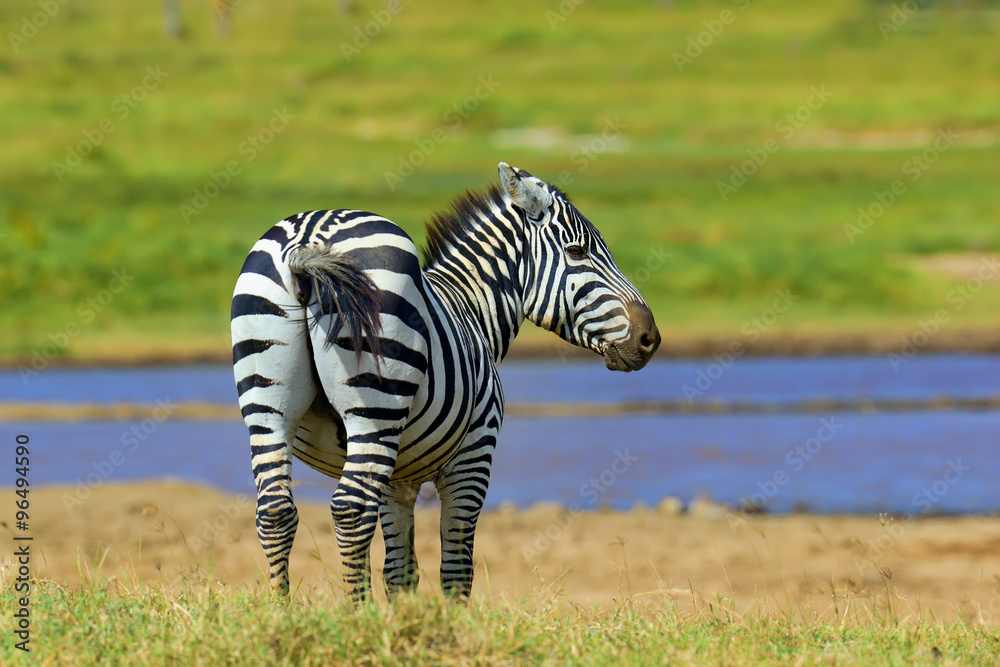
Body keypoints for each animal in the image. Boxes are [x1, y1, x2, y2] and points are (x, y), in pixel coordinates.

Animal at [231, 162, 660, 602]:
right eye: (577, 252)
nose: (650, 339)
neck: (471, 309)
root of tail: (311, 237)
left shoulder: (398, 478)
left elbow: (400, 571)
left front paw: (404, 620)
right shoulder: (473, 453)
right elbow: (456, 570)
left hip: (268, 409)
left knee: (276, 512)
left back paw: (283, 612)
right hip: (375, 410)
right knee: (350, 509)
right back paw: (356, 614)